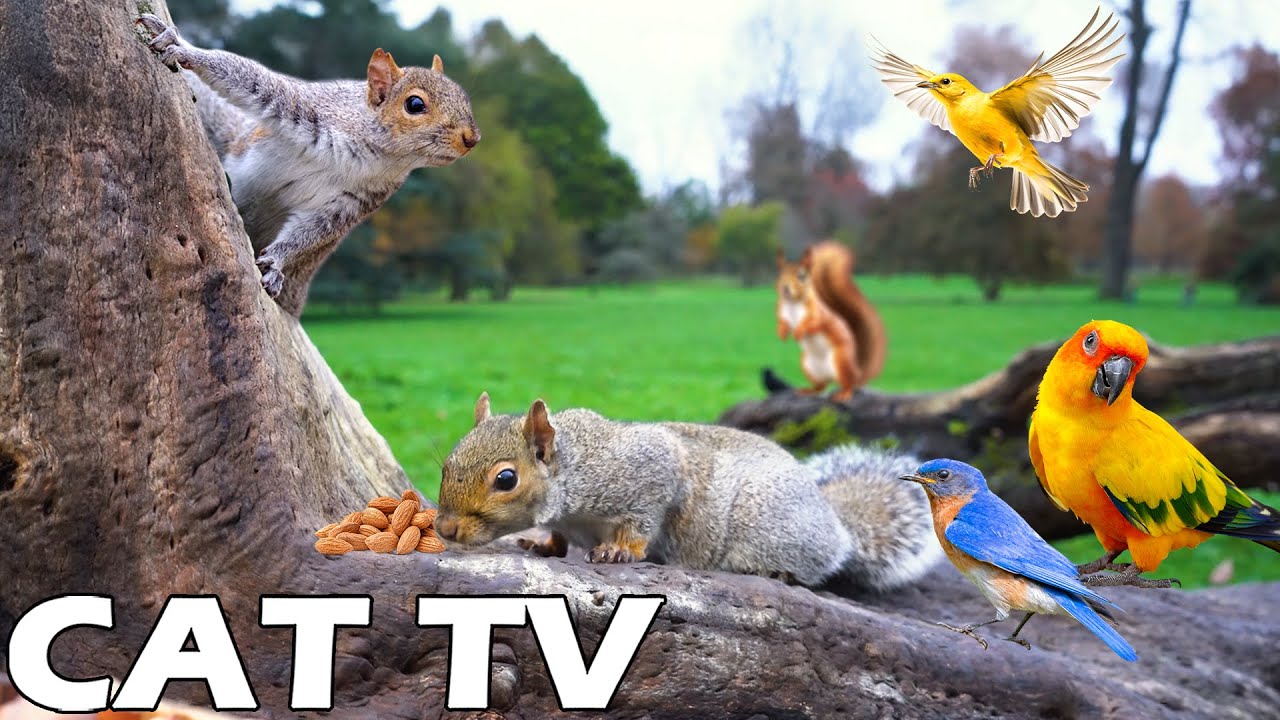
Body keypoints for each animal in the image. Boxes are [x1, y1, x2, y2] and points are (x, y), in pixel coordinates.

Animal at [137, 14, 479, 316]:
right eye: (415, 104)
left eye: (464, 96)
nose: (472, 138)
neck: (371, 154)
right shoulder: (302, 107)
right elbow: (248, 77)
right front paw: (183, 48)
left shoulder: (354, 201)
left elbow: (310, 233)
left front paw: (276, 263)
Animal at [435, 393, 942, 590]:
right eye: (447, 463)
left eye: (506, 479)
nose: (445, 529)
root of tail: (839, 530)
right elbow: (558, 538)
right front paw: (541, 543)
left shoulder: (652, 474)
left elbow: (643, 522)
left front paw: (620, 551)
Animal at [776, 242, 888, 399]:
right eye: (780, 275)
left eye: (802, 276)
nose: (784, 288)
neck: (793, 303)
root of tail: (857, 373)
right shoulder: (782, 314)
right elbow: (783, 323)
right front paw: (782, 334)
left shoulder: (818, 314)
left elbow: (813, 323)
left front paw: (799, 331)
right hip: (808, 366)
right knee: (821, 386)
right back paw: (808, 390)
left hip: (841, 362)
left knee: (849, 384)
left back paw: (844, 394)